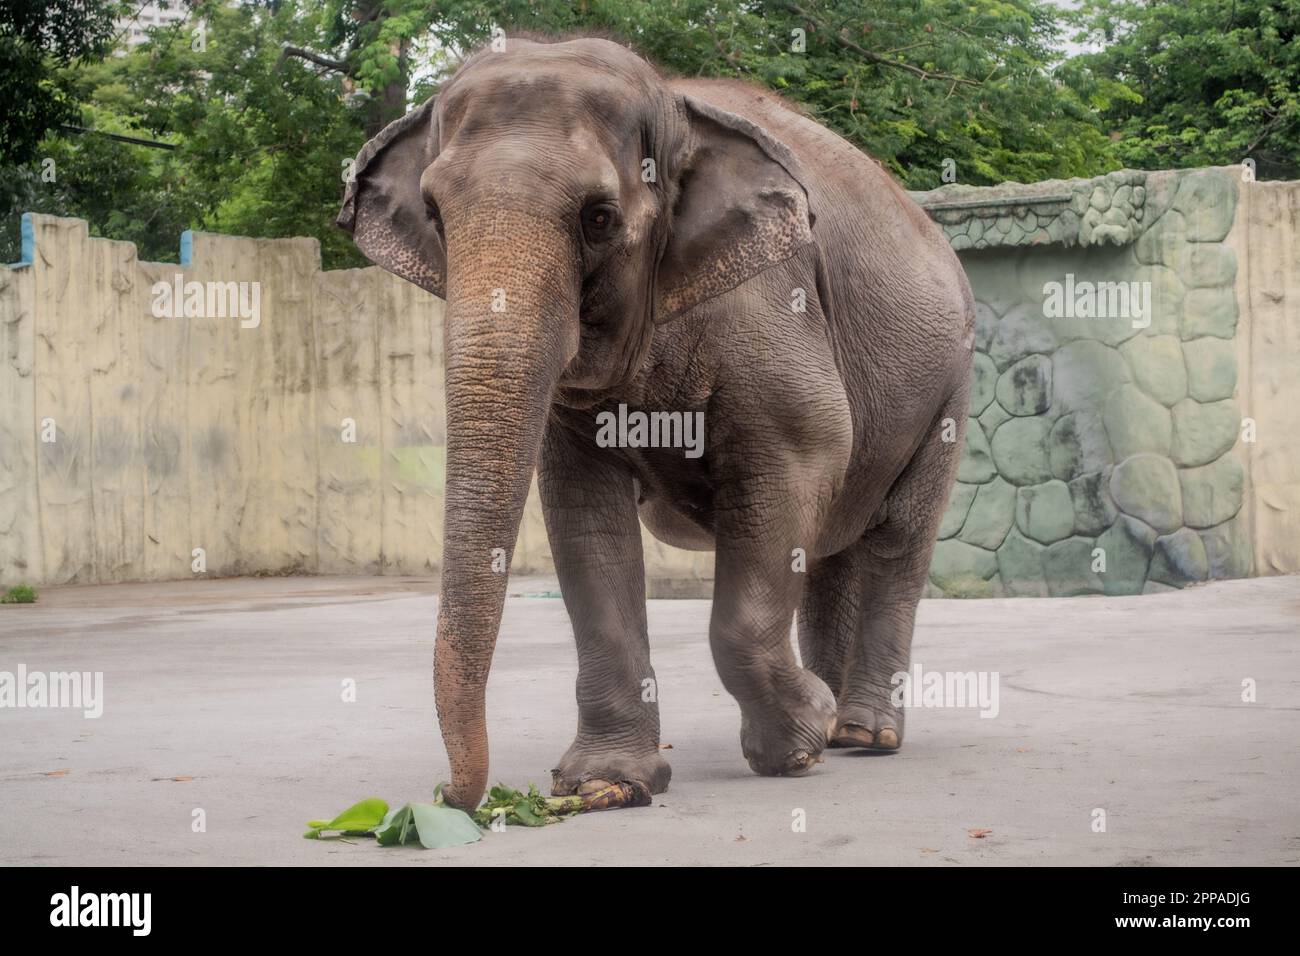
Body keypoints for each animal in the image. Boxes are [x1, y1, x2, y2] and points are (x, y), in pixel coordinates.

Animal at [338, 34, 974, 811]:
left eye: (599, 217)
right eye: (432, 211)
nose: (450, 797)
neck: (675, 108)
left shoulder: (773, 302)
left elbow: (806, 451)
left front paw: (798, 745)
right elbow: (583, 513)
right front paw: (607, 782)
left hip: (950, 384)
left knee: (896, 539)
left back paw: (860, 732)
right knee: (832, 547)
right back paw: (840, 718)